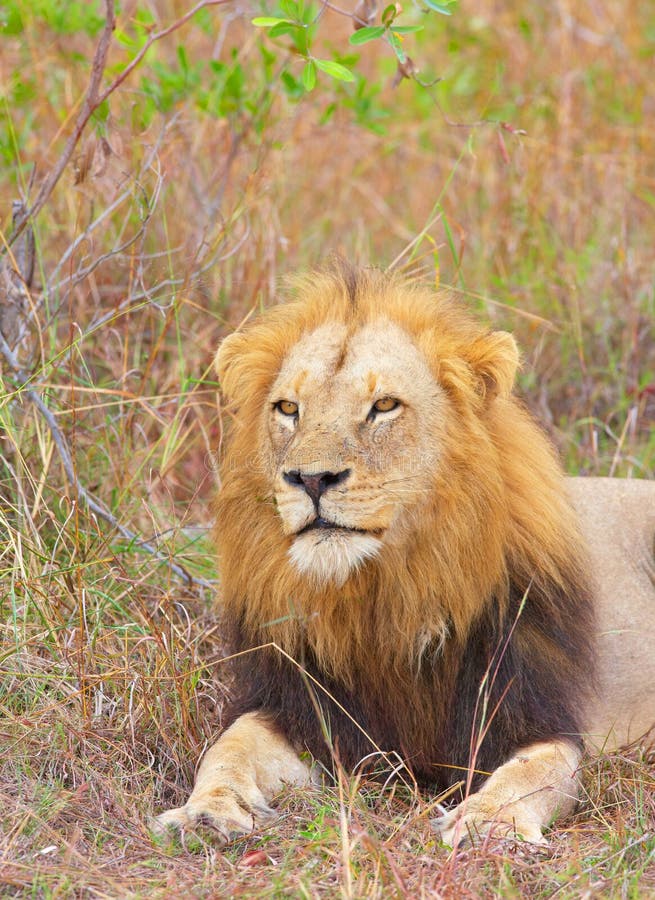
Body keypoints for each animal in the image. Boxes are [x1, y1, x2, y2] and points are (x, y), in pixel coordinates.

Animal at [156, 262, 655, 846]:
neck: (389, 596)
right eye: (288, 409)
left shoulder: (534, 717)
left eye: (384, 406)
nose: (311, 479)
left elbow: (532, 774)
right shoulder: (300, 710)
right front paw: (205, 812)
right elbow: (227, 749)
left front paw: (487, 822)